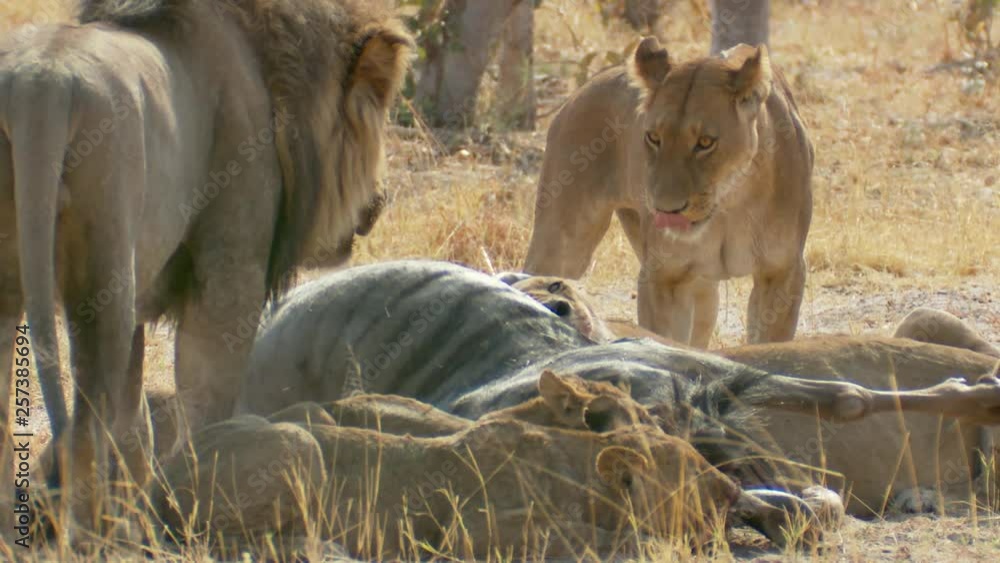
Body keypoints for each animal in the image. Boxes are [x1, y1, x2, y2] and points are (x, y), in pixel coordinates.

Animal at [0, 0, 412, 532]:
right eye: (378, 115)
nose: (379, 201)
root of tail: (39, 87)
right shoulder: (229, 270)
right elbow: (207, 392)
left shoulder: (144, 289)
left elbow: (133, 418)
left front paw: (137, 508)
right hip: (104, 277)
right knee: (87, 427)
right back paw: (95, 538)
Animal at [522, 37, 813, 347]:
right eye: (653, 137)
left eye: (705, 142)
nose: (664, 210)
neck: (729, 204)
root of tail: (586, 86)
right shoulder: (663, 277)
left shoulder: (782, 271)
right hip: (561, 241)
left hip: (704, 292)